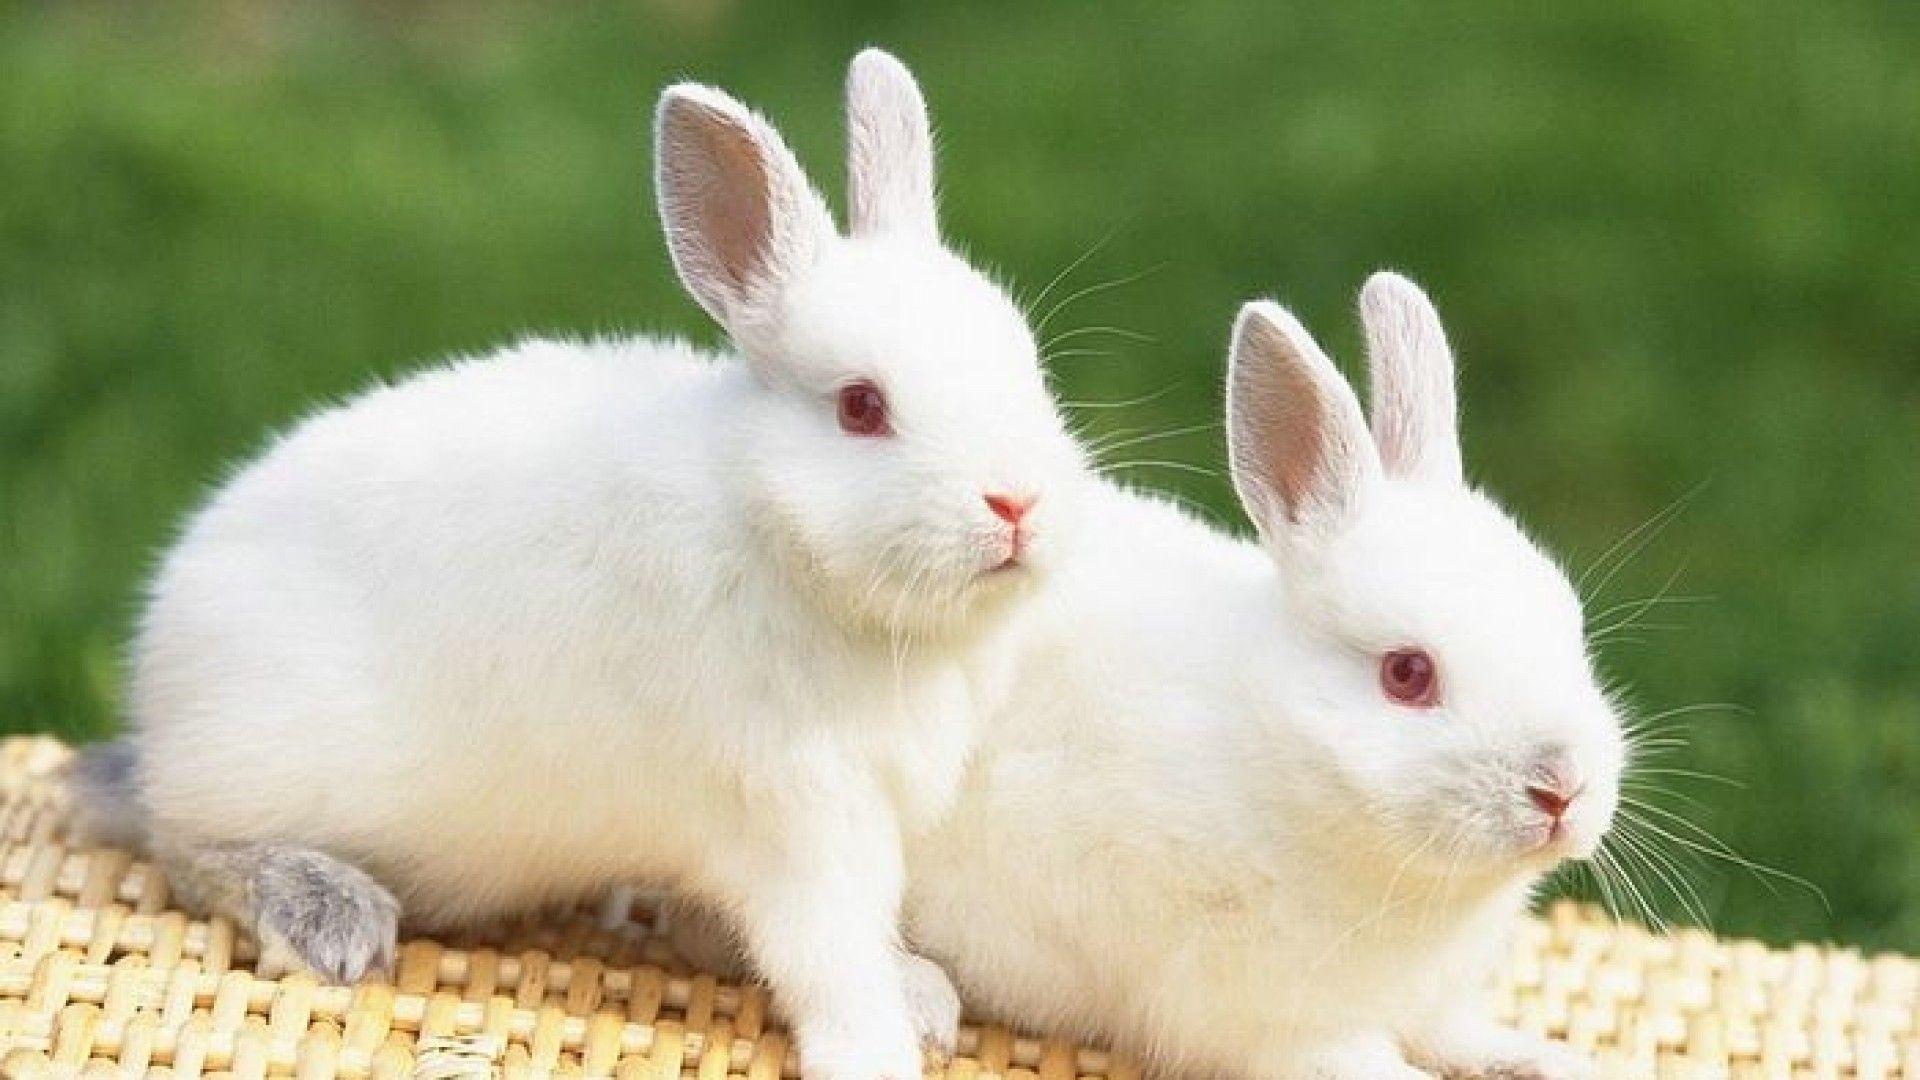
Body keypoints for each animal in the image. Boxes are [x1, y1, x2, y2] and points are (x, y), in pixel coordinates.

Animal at [74, 48, 1085, 1080]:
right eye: (861, 408)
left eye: (1030, 369)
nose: (1019, 505)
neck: (776, 533)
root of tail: (158, 676)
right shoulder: (799, 816)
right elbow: (831, 954)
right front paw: (878, 1047)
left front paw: (922, 996)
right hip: (255, 768)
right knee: (179, 842)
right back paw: (329, 913)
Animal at [888, 273, 1622, 1079]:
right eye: (1407, 673)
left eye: (1569, 625)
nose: (1561, 788)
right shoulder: (1281, 1024)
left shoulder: (1436, 1007)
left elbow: (1461, 1037)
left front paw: (1548, 1058)